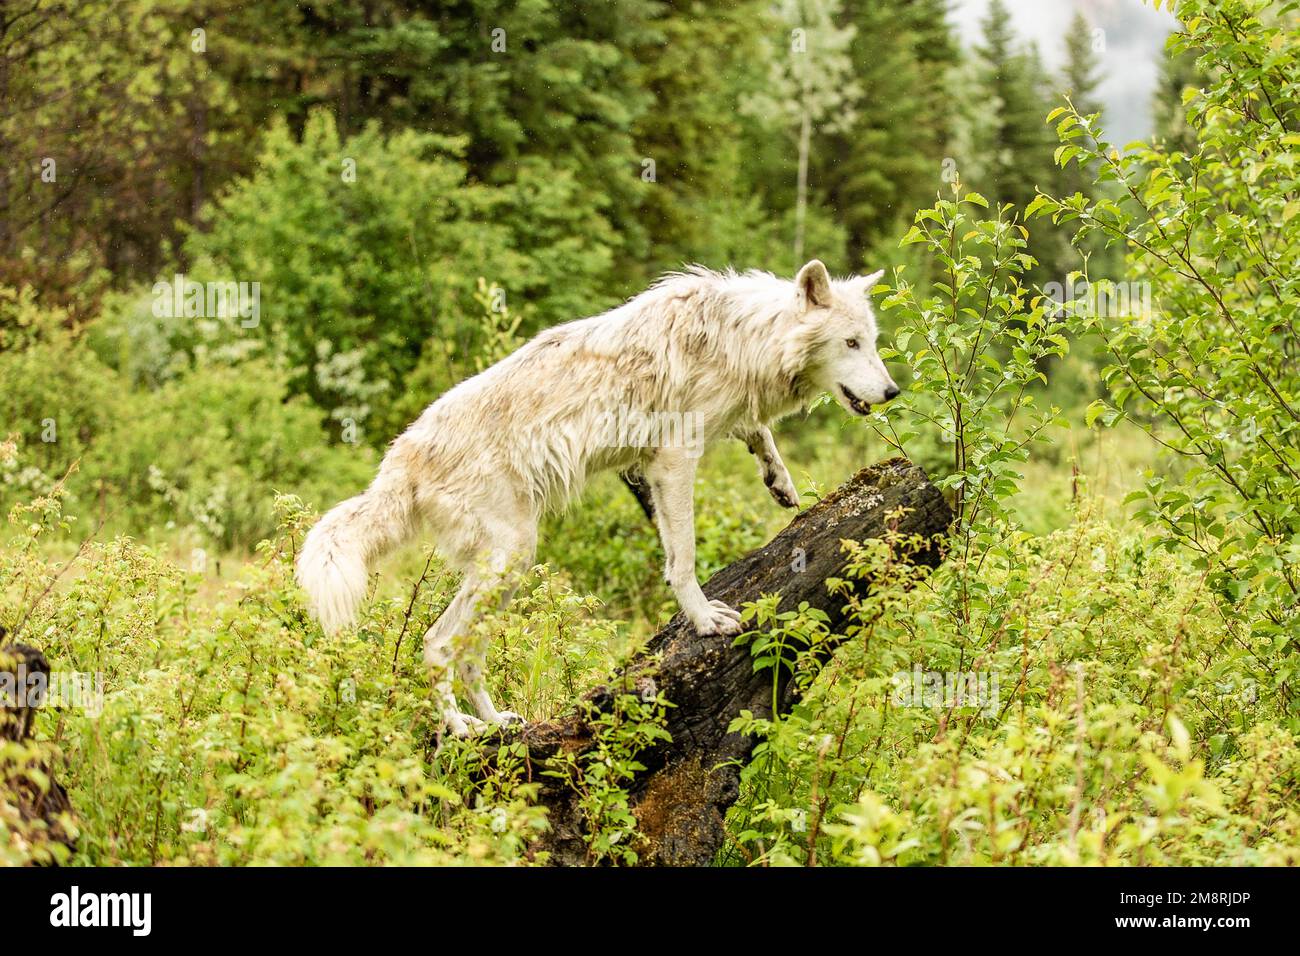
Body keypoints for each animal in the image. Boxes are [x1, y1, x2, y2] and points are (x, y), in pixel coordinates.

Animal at [296, 259, 900, 735]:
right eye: (850, 343)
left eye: (872, 343)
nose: (893, 391)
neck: (742, 338)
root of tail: (398, 460)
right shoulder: (673, 460)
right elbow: (682, 559)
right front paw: (705, 619)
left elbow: (759, 434)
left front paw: (780, 480)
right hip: (512, 558)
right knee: (436, 645)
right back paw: (462, 730)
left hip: (503, 574)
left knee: (466, 656)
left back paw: (495, 723)